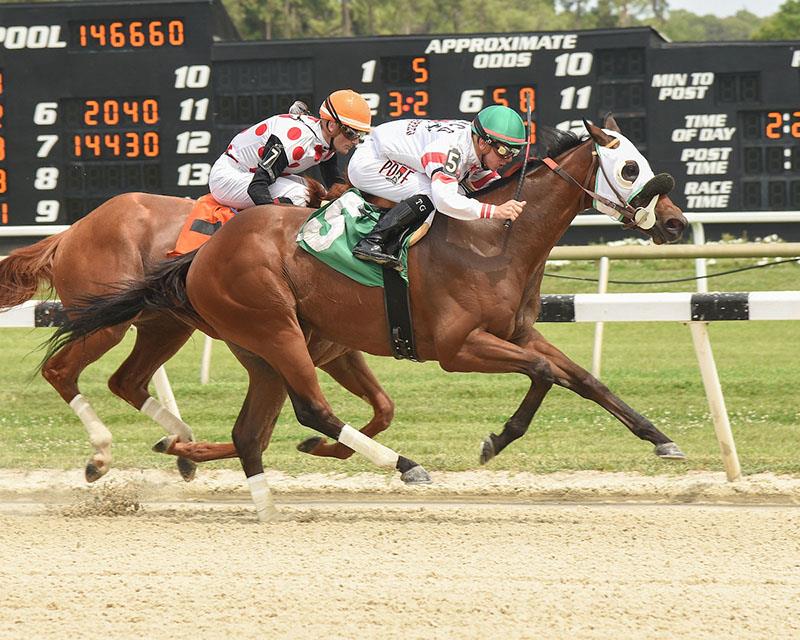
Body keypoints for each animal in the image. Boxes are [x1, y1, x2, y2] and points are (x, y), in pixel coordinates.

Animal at [1, 178, 396, 482]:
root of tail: (71, 232)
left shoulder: (335, 353)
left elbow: (383, 409)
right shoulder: (286, 352)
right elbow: (261, 433)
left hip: (165, 326)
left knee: (126, 381)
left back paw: (178, 442)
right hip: (108, 323)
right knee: (60, 370)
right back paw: (101, 454)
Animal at [43, 116, 689, 521]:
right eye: (630, 169)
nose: (676, 224)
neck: (493, 241)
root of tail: (202, 254)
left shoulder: (516, 332)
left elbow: (582, 378)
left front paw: (661, 439)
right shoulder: (458, 348)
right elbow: (543, 374)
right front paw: (495, 440)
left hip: (251, 344)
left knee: (245, 428)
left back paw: (233, 483)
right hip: (266, 328)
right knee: (305, 409)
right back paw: (402, 466)